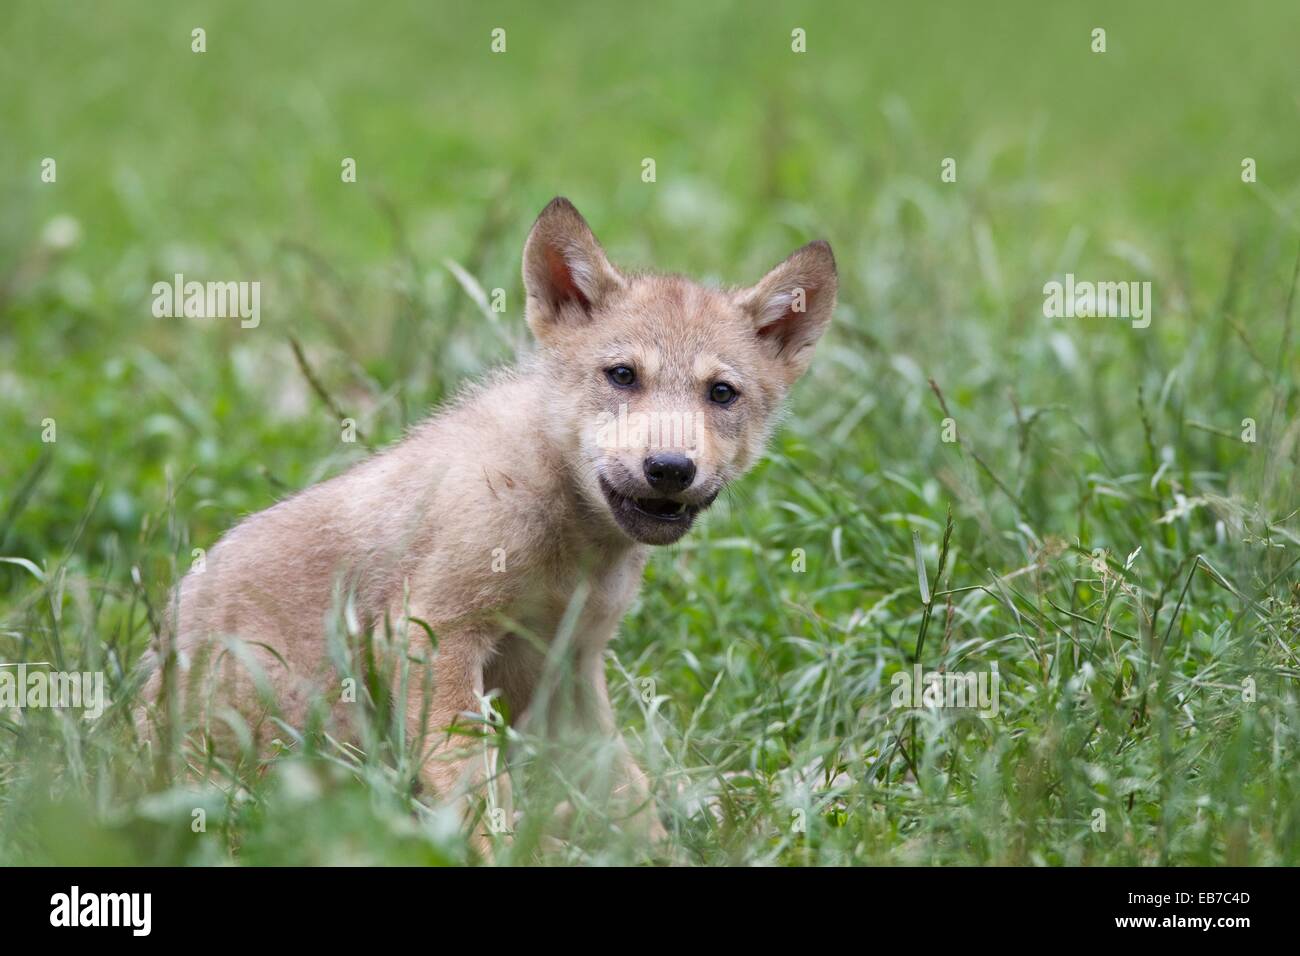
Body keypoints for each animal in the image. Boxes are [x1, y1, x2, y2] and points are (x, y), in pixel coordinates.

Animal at [147, 197, 836, 845]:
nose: (669, 468)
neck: (572, 545)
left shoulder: (568, 667)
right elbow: (473, 778)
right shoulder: (434, 633)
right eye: (622, 376)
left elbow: (628, 798)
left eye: (721, 393)